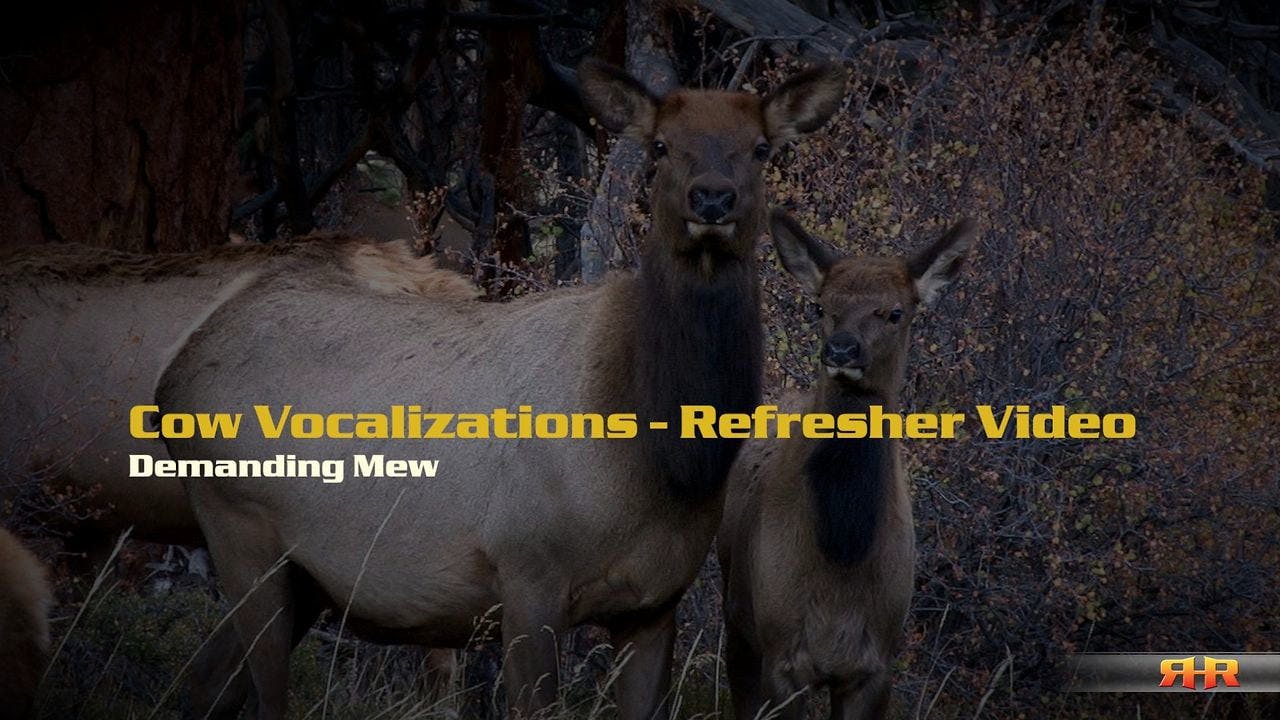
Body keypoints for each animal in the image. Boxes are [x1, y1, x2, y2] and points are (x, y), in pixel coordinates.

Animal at [153, 59, 845, 719]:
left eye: (761, 147)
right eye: (661, 145)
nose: (712, 199)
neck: (665, 459)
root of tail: (174, 373)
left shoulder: (653, 604)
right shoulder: (527, 576)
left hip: (301, 577)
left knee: (206, 683)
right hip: (240, 531)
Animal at [717, 209, 974, 719]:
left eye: (895, 312)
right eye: (821, 307)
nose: (840, 349)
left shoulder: (875, 664)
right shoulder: (780, 651)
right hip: (738, 619)